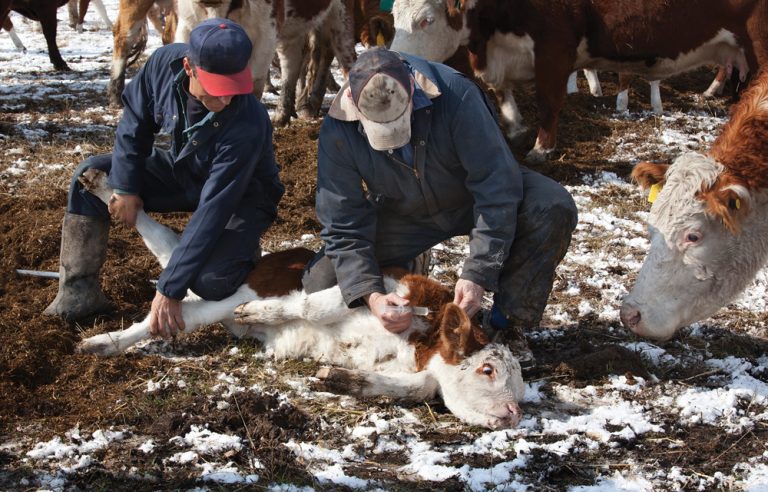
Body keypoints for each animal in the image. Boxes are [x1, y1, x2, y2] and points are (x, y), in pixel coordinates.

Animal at [74, 169, 526, 430]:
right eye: (487, 370)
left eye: (521, 389)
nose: (515, 413)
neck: (416, 343)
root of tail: (262, 261)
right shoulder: (393, 286)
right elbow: (316, 305)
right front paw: (264, 313)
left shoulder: (419, 373)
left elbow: (414, 388)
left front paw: (341, 379)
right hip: (243, 286)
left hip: (217, 297)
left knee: (175, 284)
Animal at [389, 0, 761, 163]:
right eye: (394, 15)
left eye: (427, 19)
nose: (393, 61)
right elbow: (502, 94)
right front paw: (516, 128)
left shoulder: (554, 48)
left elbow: (549, 102)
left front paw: (541, 148)